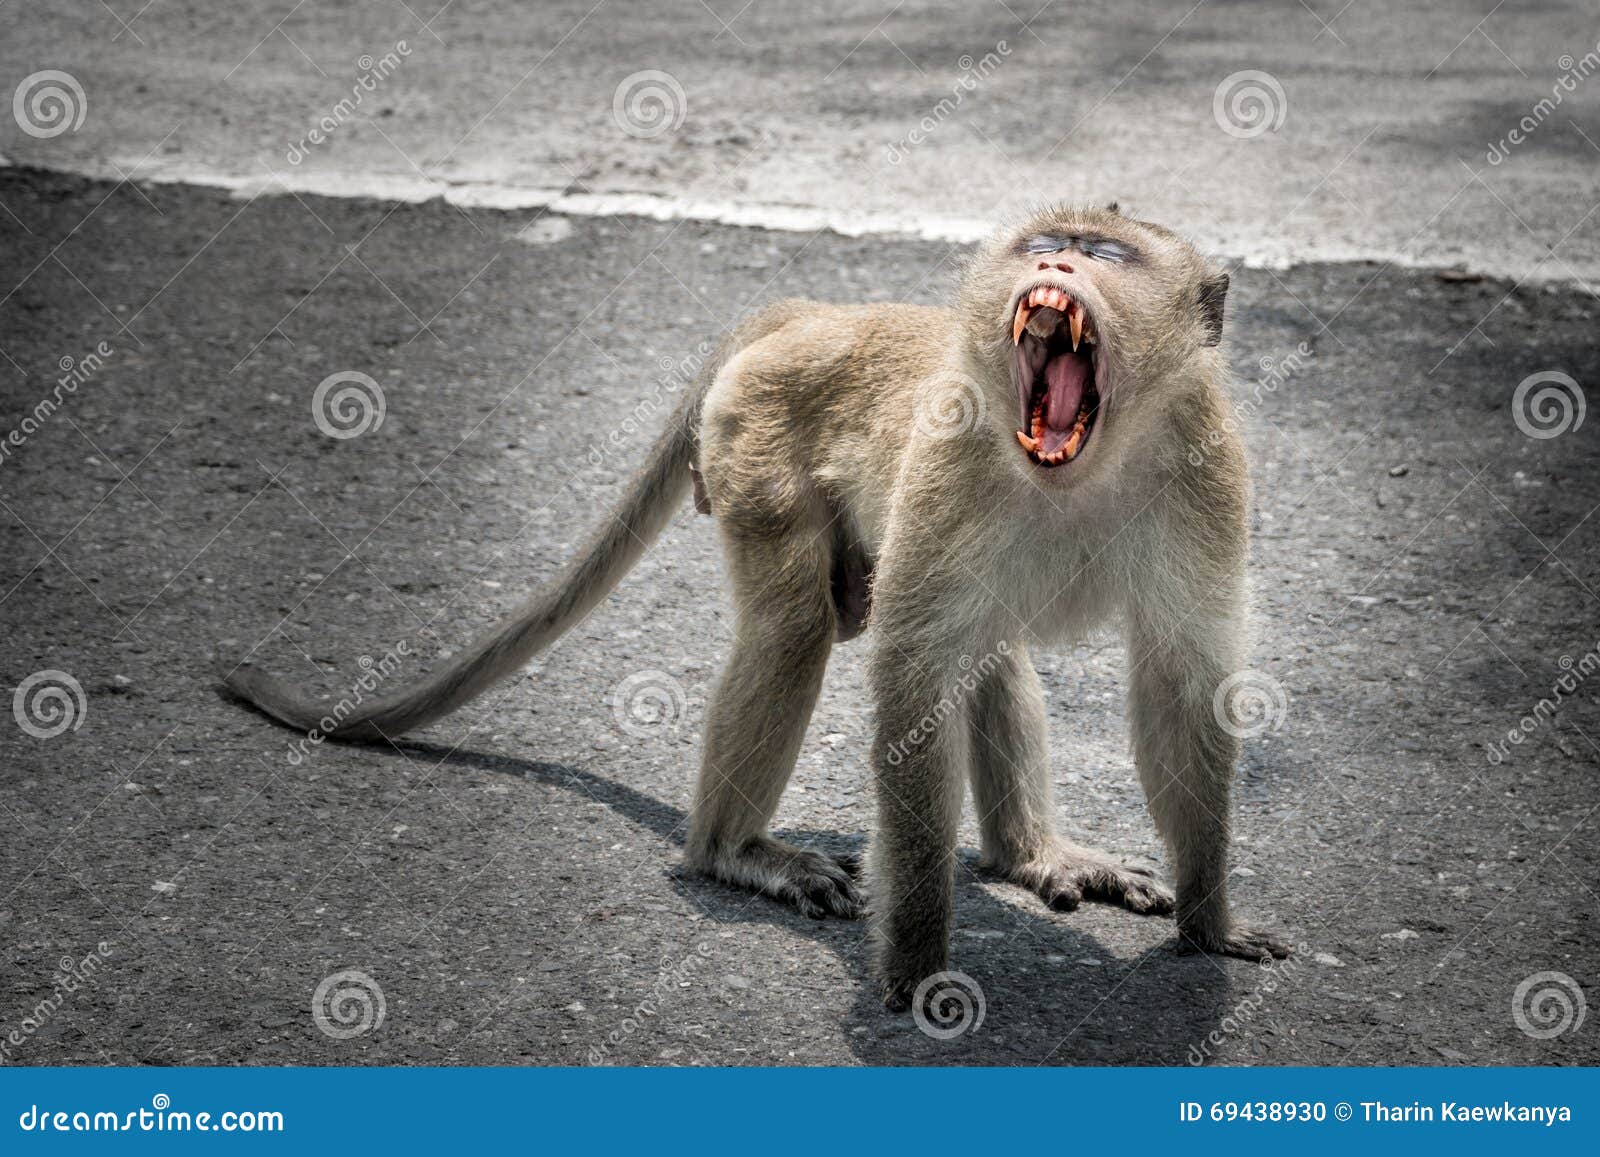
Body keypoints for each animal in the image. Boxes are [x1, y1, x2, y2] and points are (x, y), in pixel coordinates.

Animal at [222, 204, 1291, 1012]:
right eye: (1045, 242)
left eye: (1107, 254)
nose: (1057, 261)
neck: (1085, 464)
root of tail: (809, 312)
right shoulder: (950, 460)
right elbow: (913, 685)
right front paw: (915, 969)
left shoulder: (1208, 473)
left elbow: (1182, 685)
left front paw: (1209, 921)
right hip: (755, 439)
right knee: (795, 630)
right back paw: (734, 853)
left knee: (983, 651)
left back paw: (1029, 855)